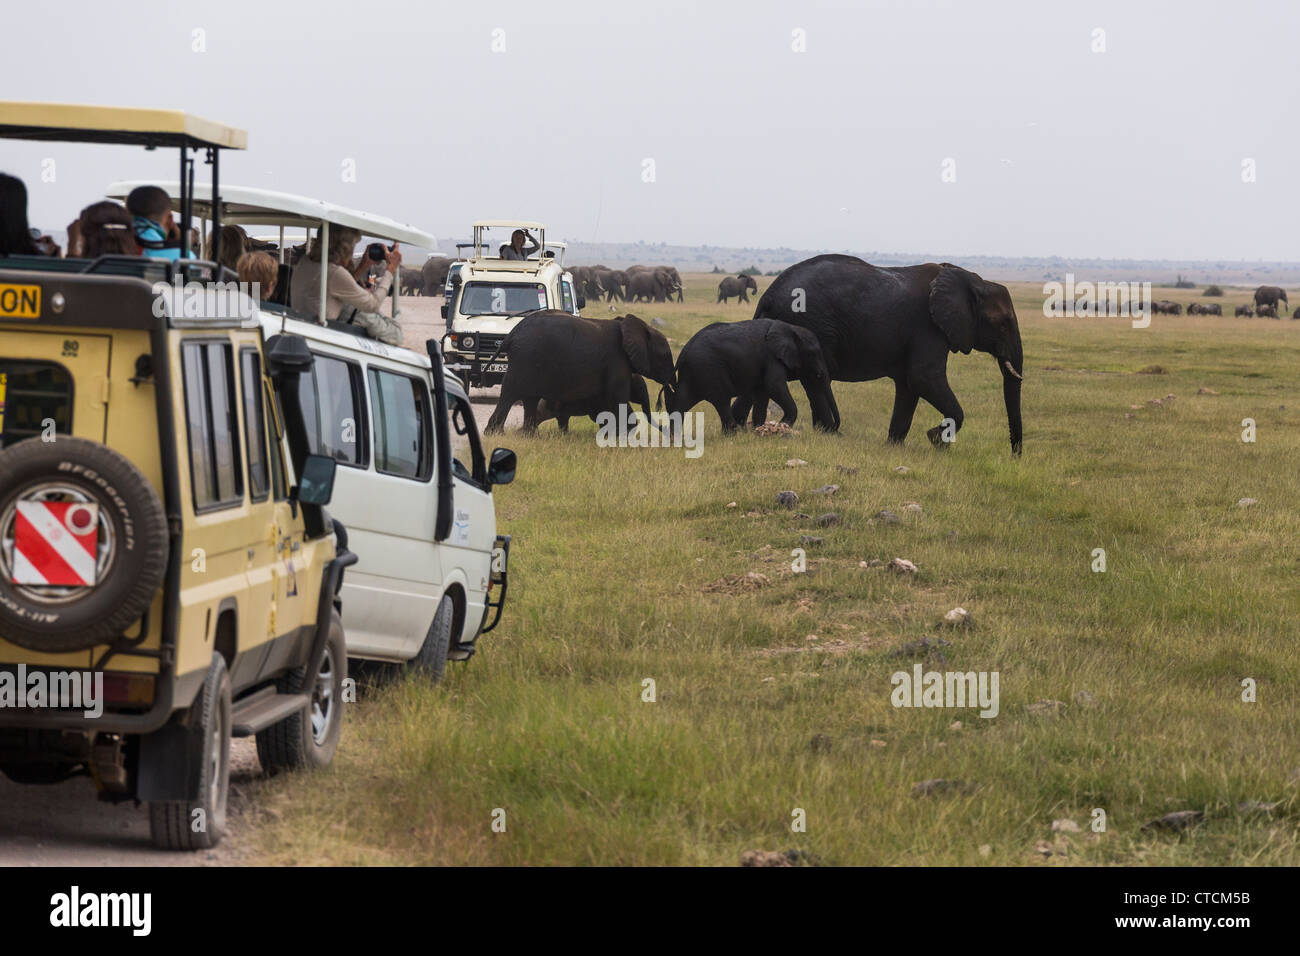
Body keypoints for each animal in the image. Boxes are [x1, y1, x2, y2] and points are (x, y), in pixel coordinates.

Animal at [484, 312, 676, 434]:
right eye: (665, 356)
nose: (667, 430)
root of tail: (511, 335)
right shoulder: (616, 361)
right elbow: (617, 396)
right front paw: (621, 437)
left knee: (529, 398)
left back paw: (528, 435)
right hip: (524, 359)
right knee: (510, 393)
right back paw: (494, 434)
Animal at [667, 319, 836, 433]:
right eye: (813, 353)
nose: (833, 428)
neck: (791, 328)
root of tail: (683, 352)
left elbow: (762, 392)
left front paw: (759, 429)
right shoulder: (772, 357)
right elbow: (774, 386)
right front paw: (782, 426)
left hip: (694, 371)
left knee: (683, 400)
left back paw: (674, 438)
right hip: (708, 369)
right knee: (721, 400)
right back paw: (733, 434)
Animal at [753, 255, 1024, 454]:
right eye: (1002, 324)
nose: (1015, 456)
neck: (969, 279)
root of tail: (768, 295)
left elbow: (908, 385)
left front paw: (894, 445)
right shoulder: (927, 327)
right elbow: (923, 378)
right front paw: (936, 439)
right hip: (809, 321)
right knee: (815, 381)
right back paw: (832, 434)